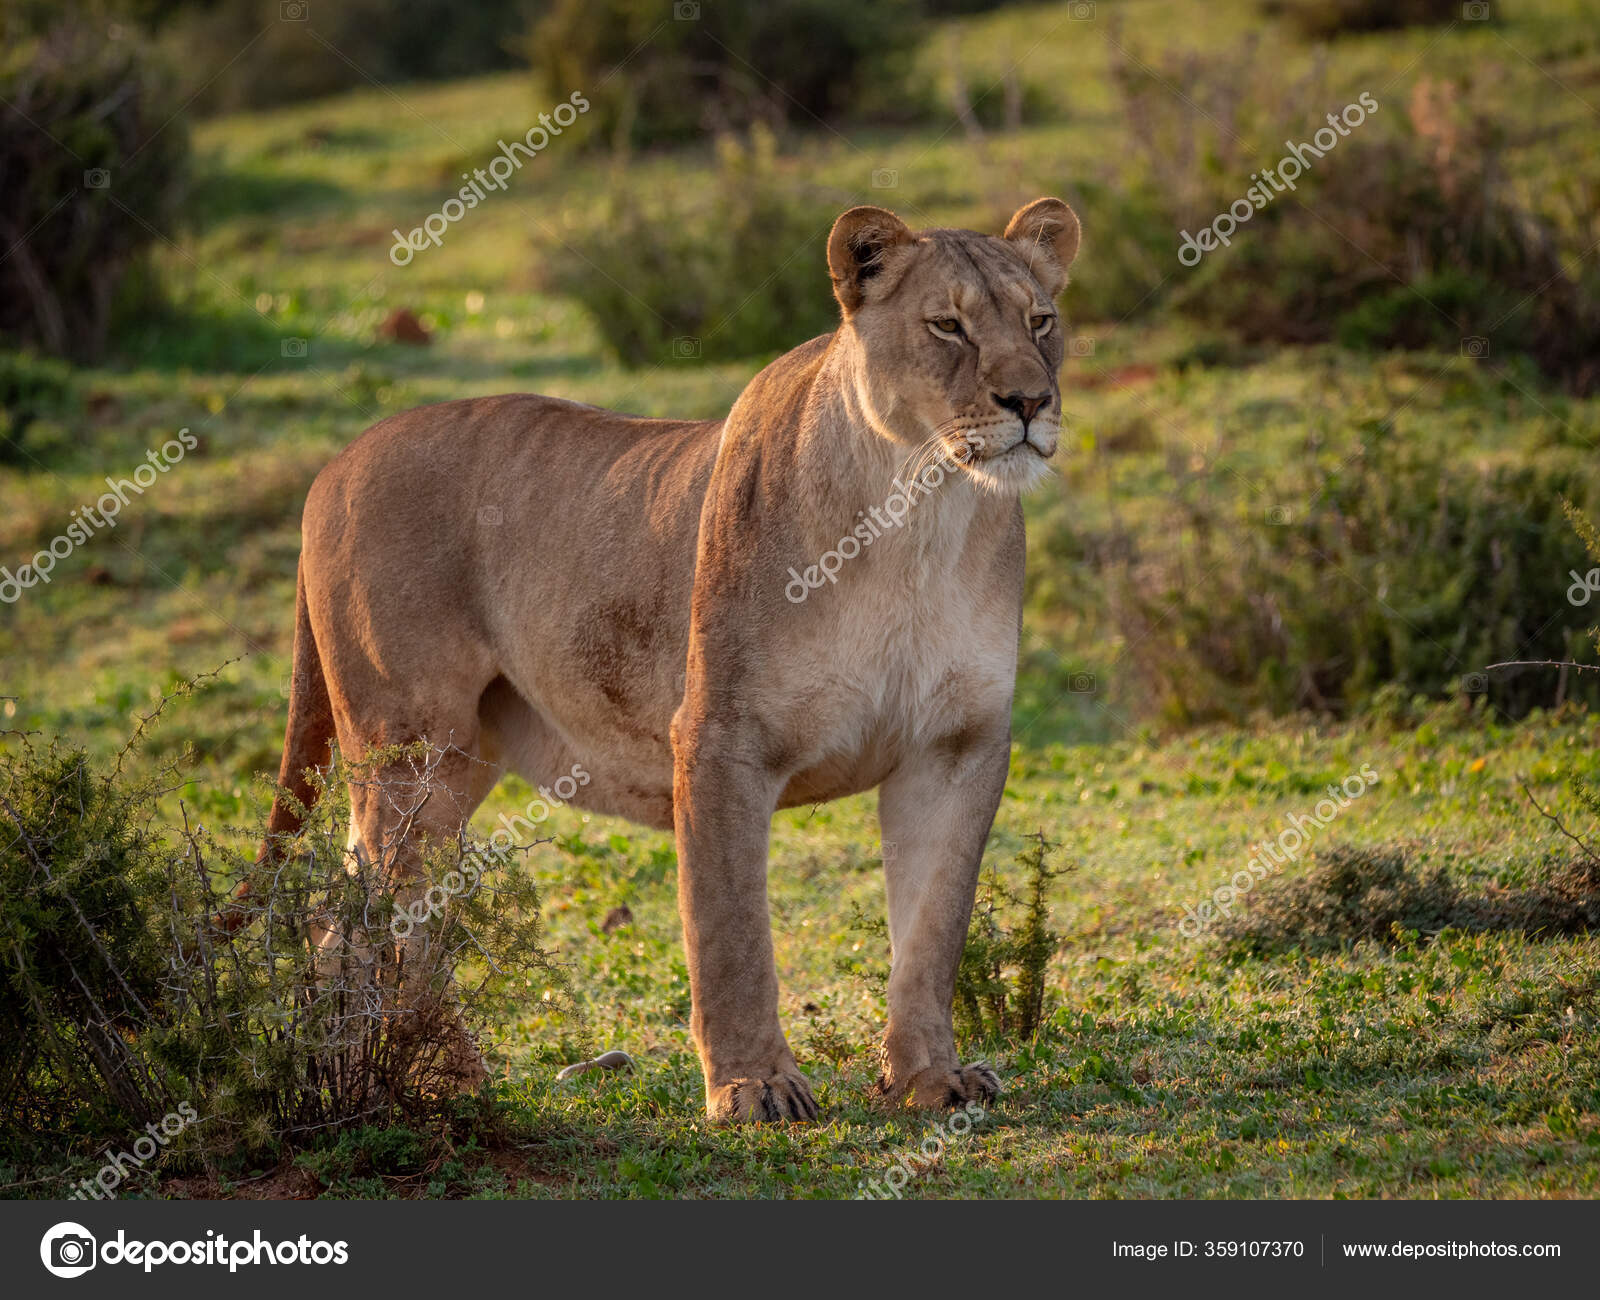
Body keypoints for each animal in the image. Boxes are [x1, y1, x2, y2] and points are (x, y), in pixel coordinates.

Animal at [254, 197, 1081, 1121]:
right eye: (947, 325)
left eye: (1041, 322)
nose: (1030, 400)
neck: (920, 515)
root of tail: (335, 464)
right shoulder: (720, 739)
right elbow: (730, 933)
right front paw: (755, 1088)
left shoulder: (956, 745)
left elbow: (932, 935)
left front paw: (930, 1078)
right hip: (408, 749)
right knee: (386, 911)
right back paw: (426, 1075)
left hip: (465, 755)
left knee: (353, 912)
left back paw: (370, 1068)